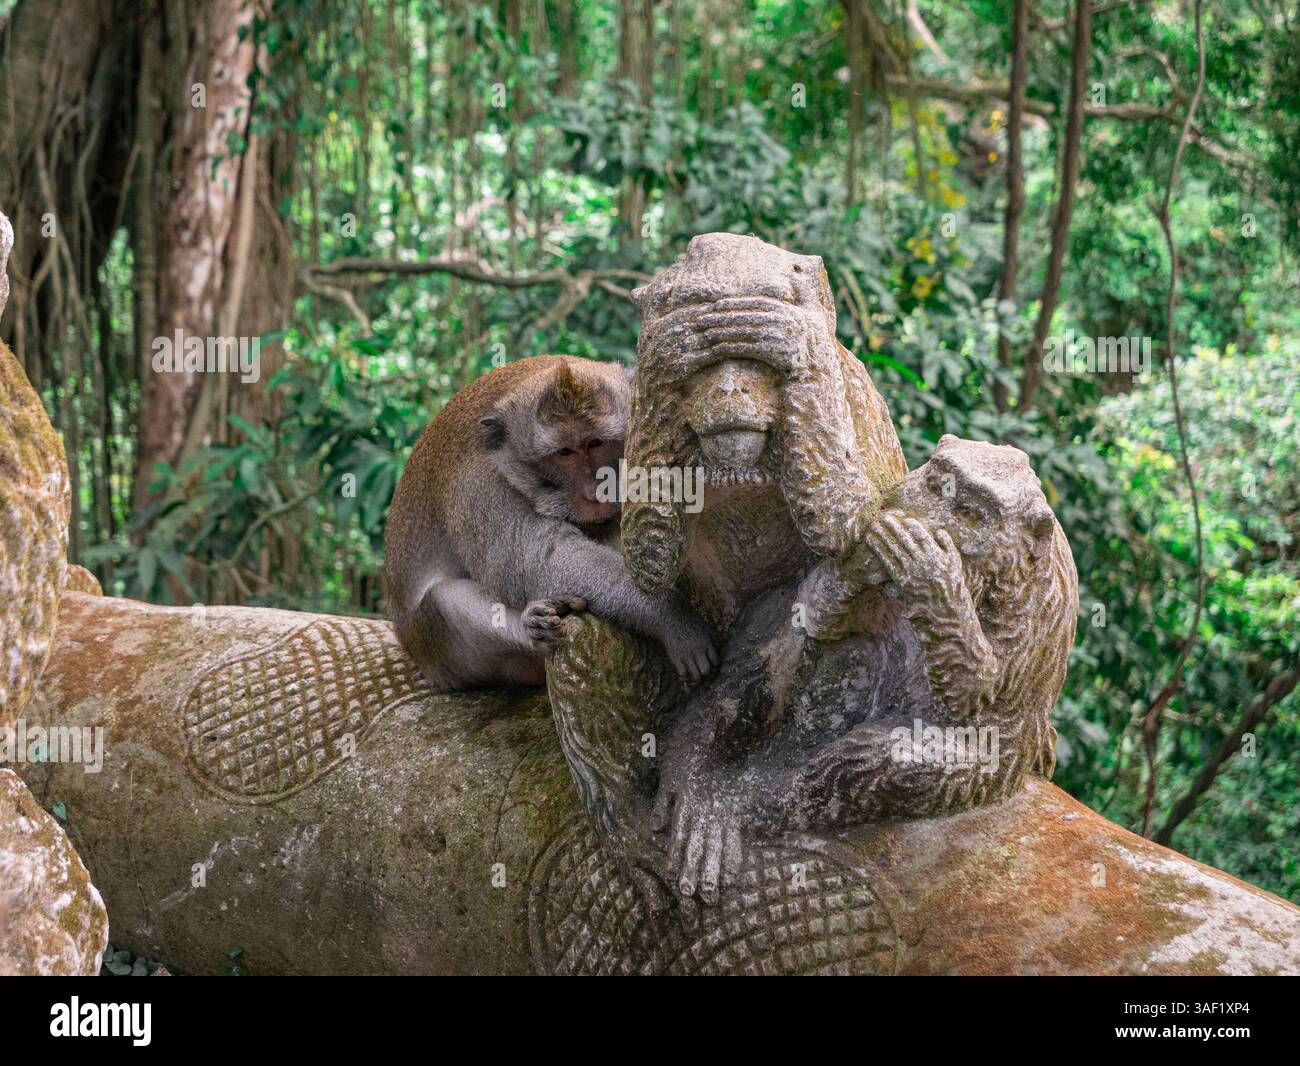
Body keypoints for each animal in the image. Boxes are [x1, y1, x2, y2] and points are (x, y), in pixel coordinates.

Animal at [385, 355, 719, 693]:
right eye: (564, 453)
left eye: (596, 443)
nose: (593, 492)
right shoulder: (478, 485)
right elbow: (540, 560)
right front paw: (672, 615)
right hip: (441, 655)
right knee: (444, 598)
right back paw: (535, 628)